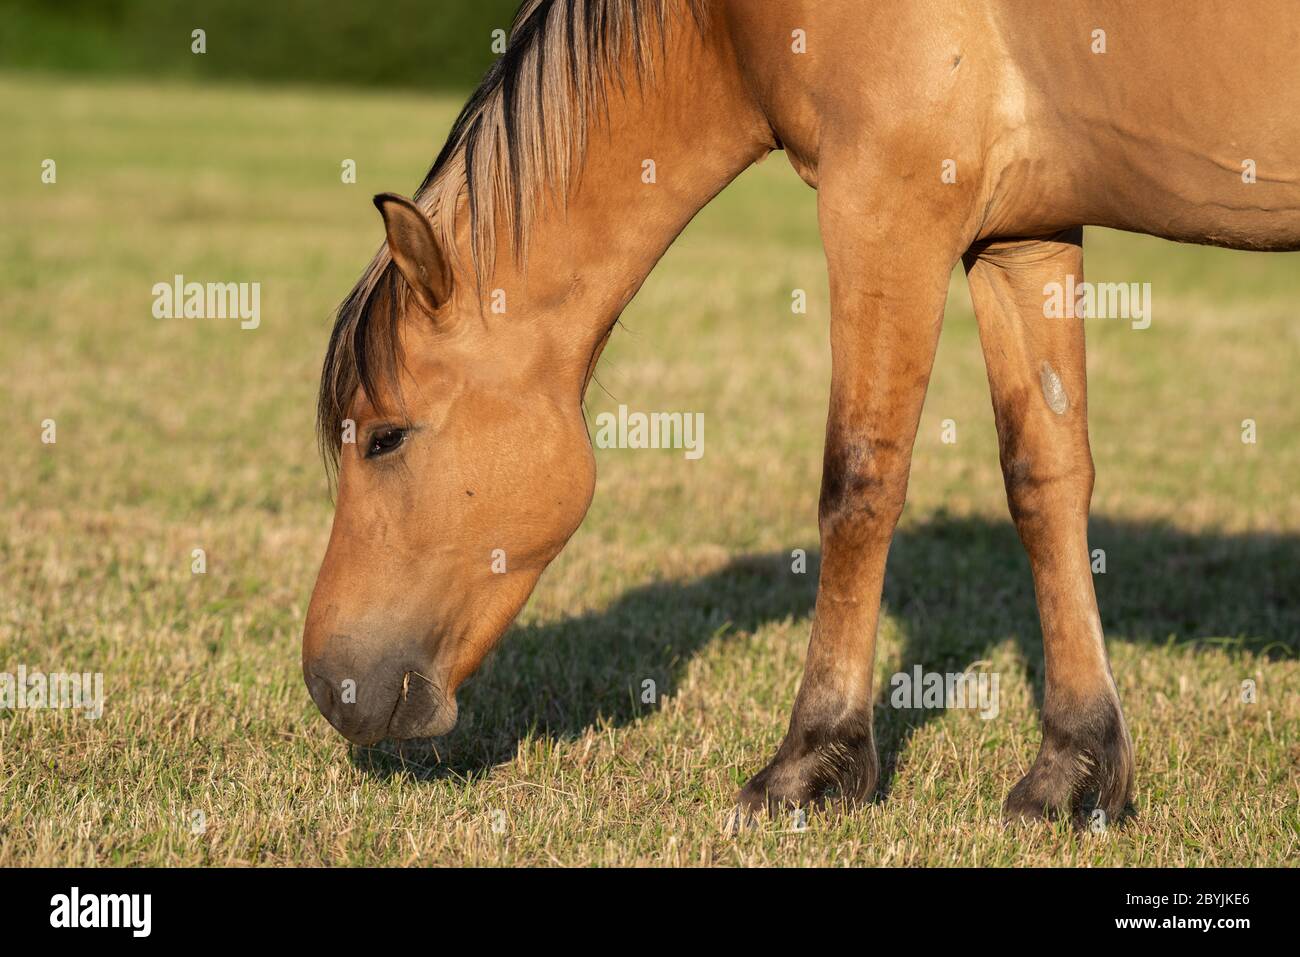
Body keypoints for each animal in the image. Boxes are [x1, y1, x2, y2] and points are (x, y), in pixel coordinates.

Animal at [302, 0, 1300, 822]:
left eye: (385, 435)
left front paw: (811, 761)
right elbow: (1045, 482)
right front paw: (1075, 768)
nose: (329, 683)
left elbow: (858, 483)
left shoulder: (887, 204)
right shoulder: (1021, 233)